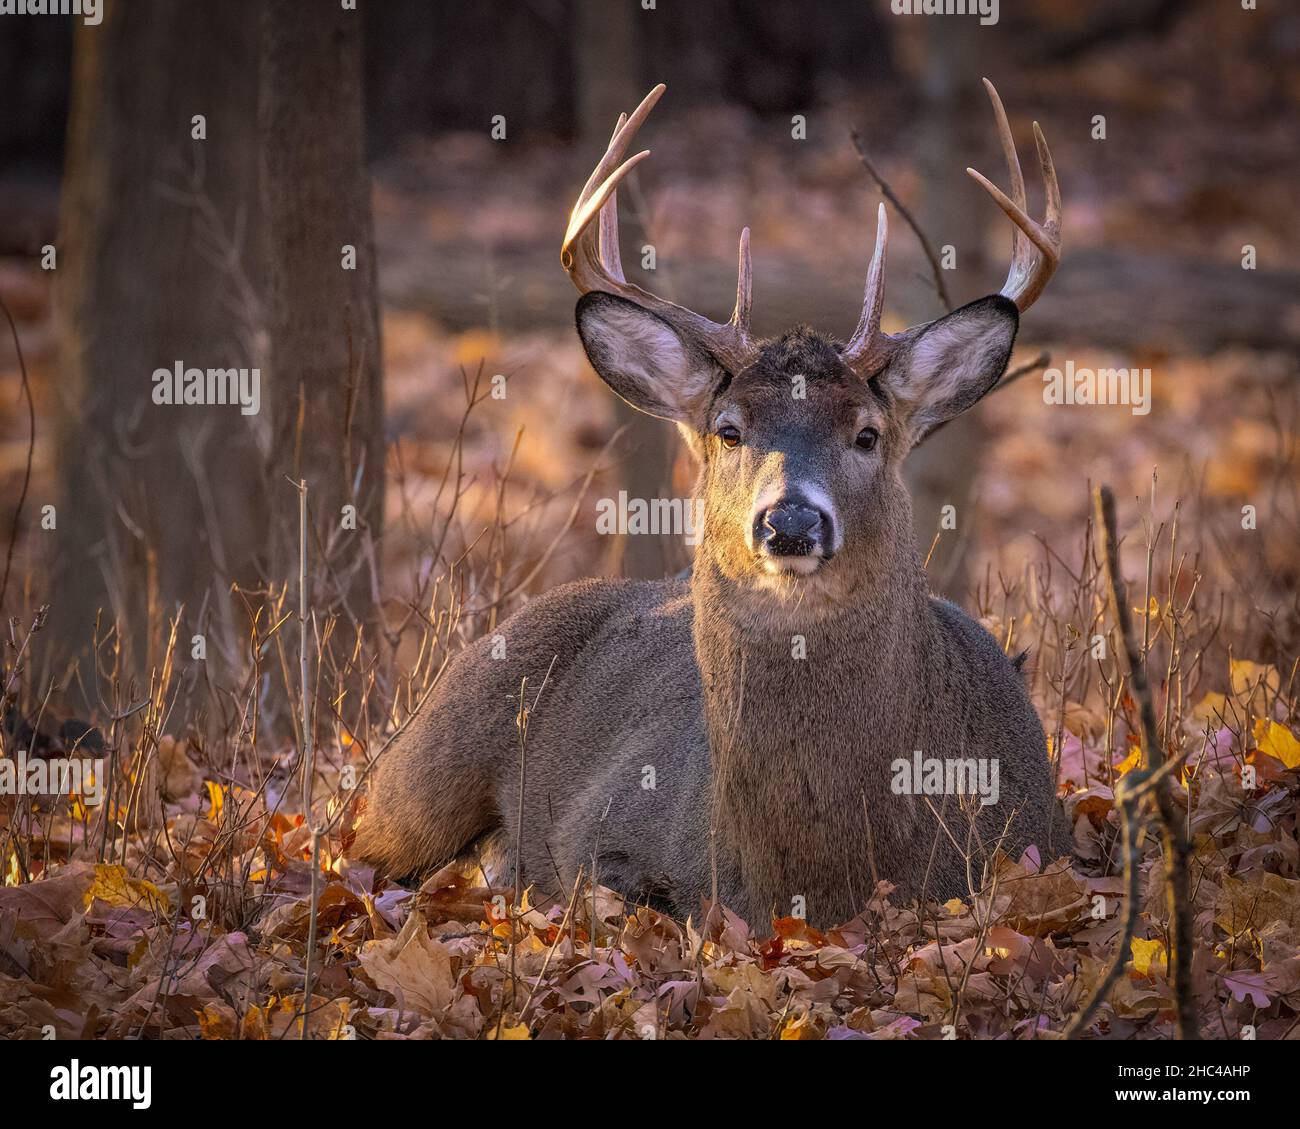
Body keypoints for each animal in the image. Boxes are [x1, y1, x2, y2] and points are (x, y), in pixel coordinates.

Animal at [355, 81, 1066, 930]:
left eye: (867, 433)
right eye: (729, 430)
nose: (790, 520)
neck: (816, 870)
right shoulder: (606, 827)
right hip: (421, 767)